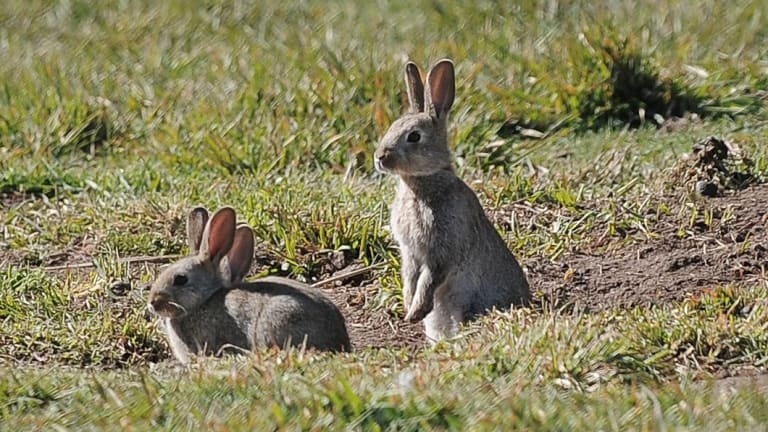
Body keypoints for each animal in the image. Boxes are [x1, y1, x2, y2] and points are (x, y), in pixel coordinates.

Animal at [373, 59, 531, 343]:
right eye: (392, 126)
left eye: (414, 136)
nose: (380, 157)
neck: (420, 185)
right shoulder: (410, 252)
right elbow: (410, 277)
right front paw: (408, 307)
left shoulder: (441, 249)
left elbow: (429, 279)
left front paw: (414, 312)